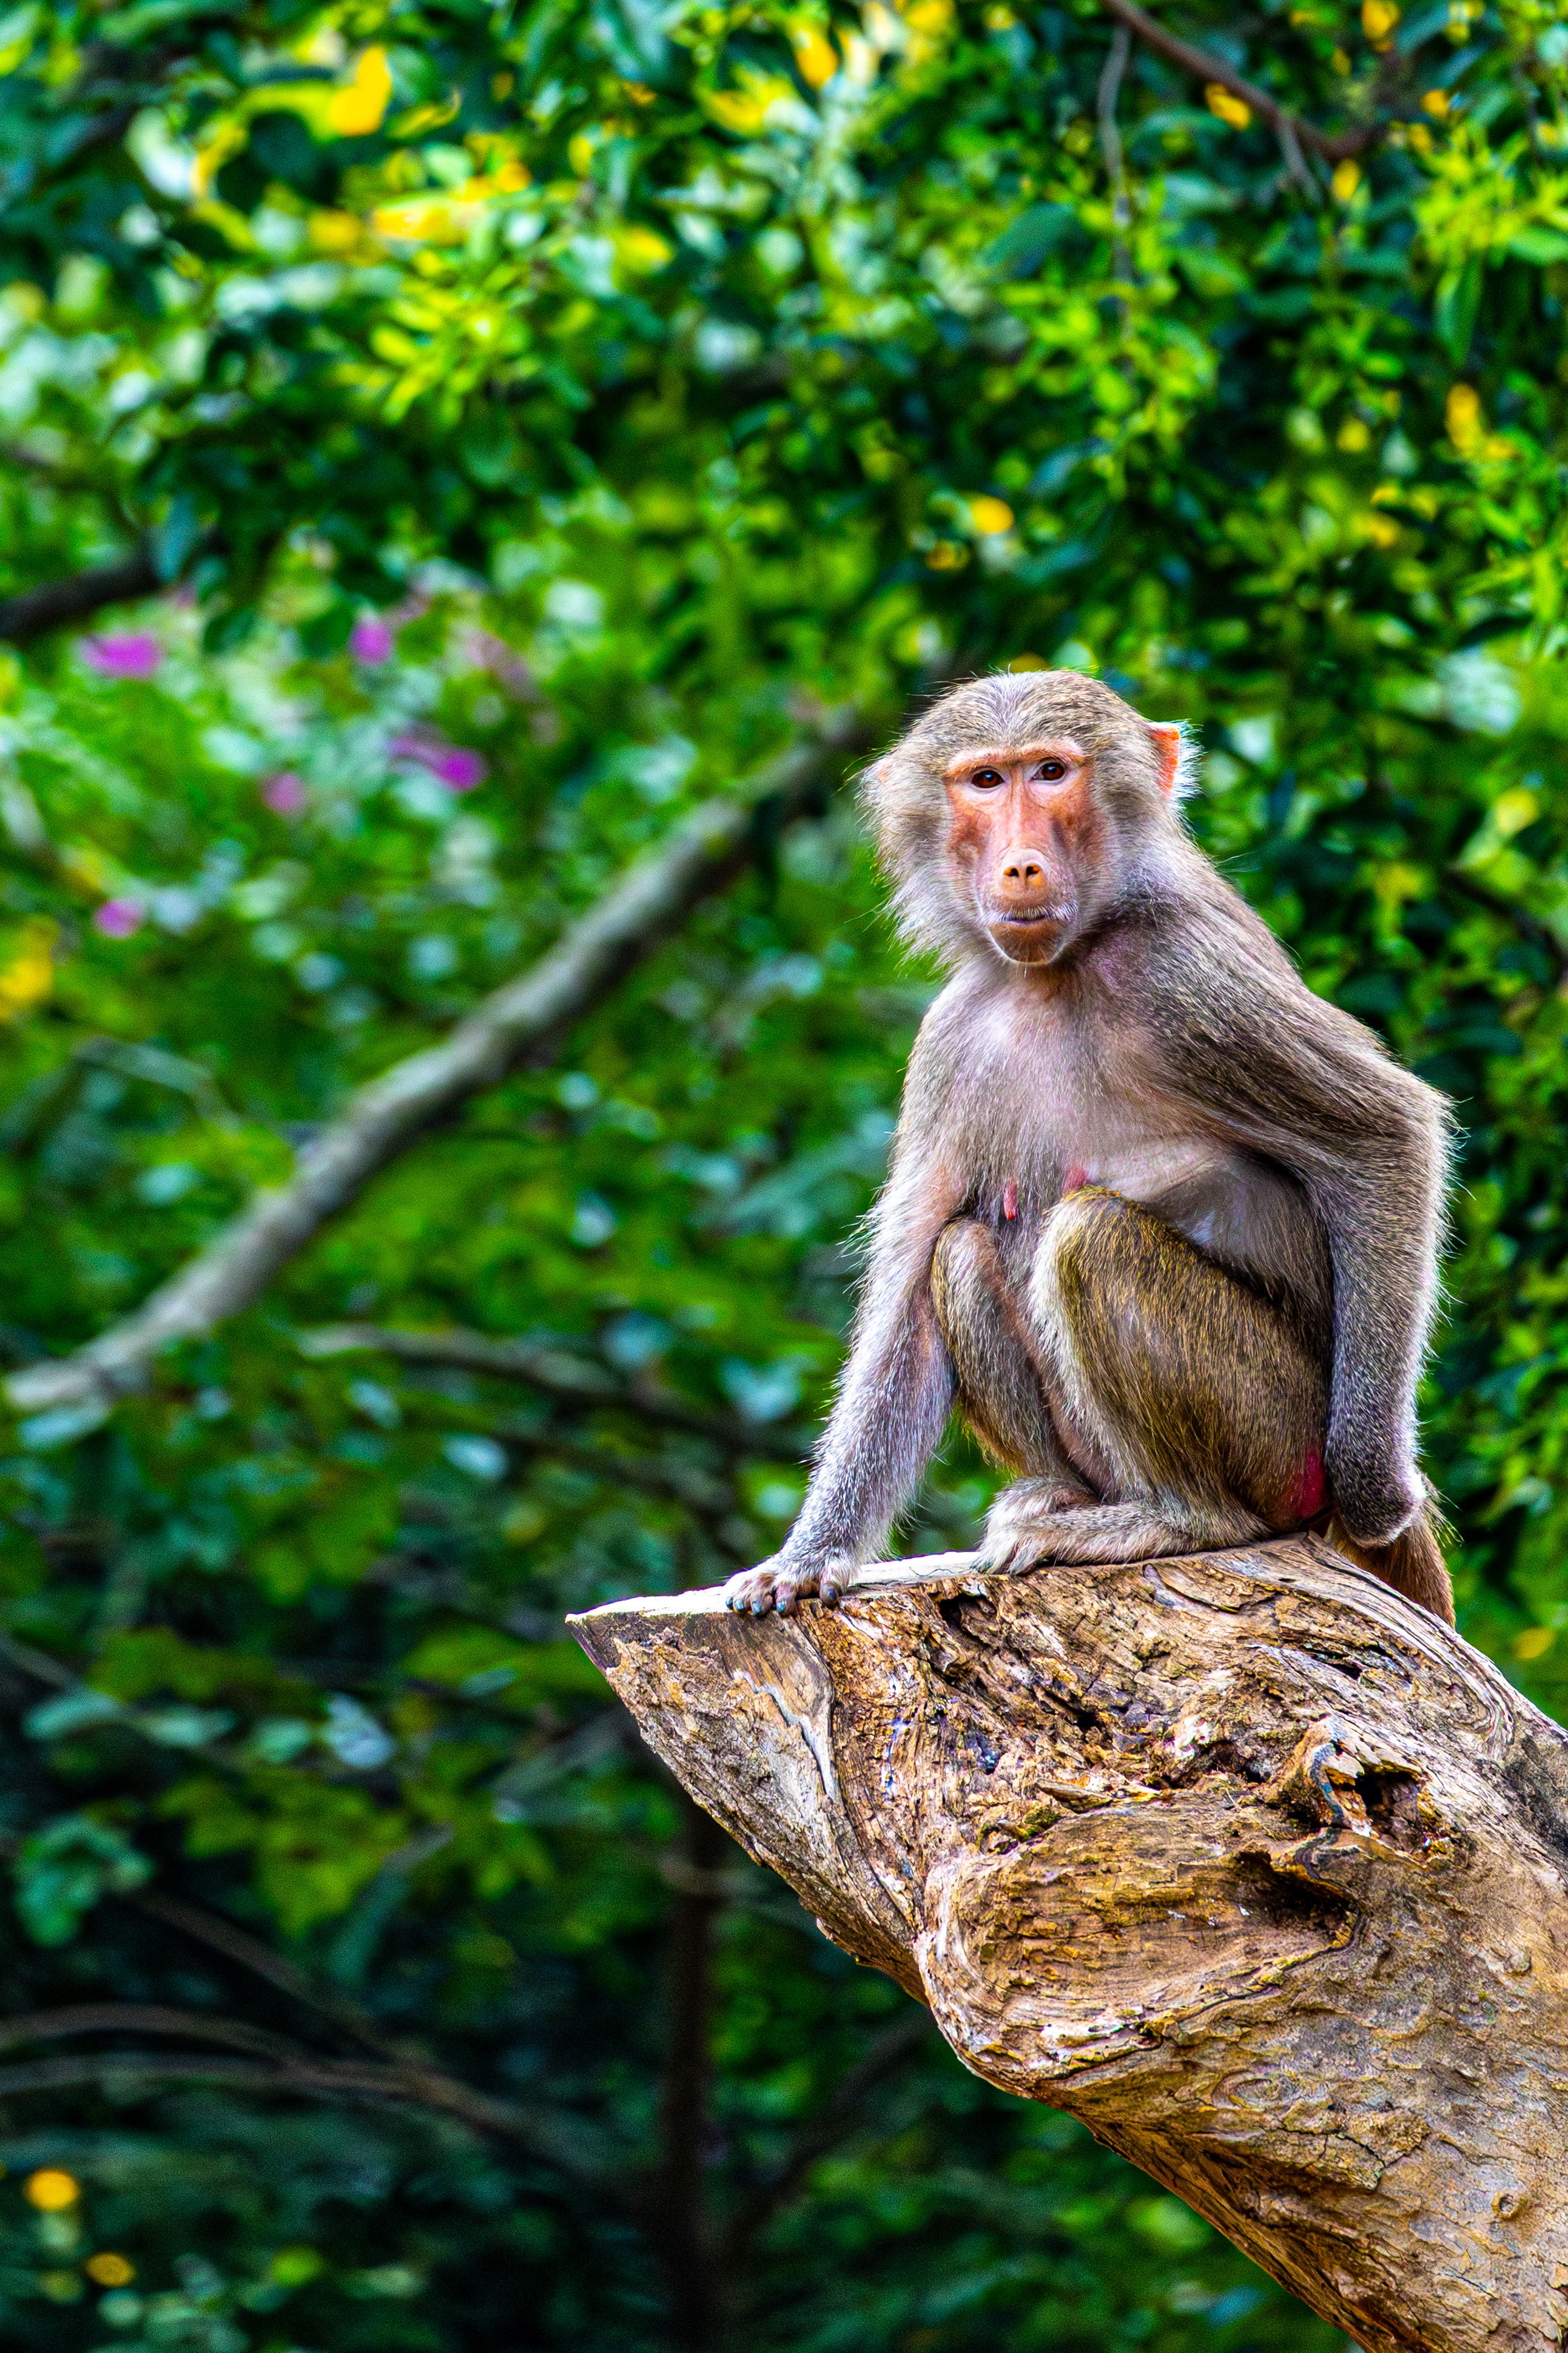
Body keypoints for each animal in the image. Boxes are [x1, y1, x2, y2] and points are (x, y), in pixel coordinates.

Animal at [723, 669, 1455, 1624]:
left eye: (1049, 772)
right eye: (984, 781)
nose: (1020, 863)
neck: (1062, 967)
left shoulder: (1186, 979)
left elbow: (1385, 1133)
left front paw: (1378, 1494)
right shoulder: (949, 1040)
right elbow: (910, 1292)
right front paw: (809, 1557)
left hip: (1280, 1435)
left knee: (1091, 1238)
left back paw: (1182, 1517)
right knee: (962, 1250)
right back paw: (1067, 1496)